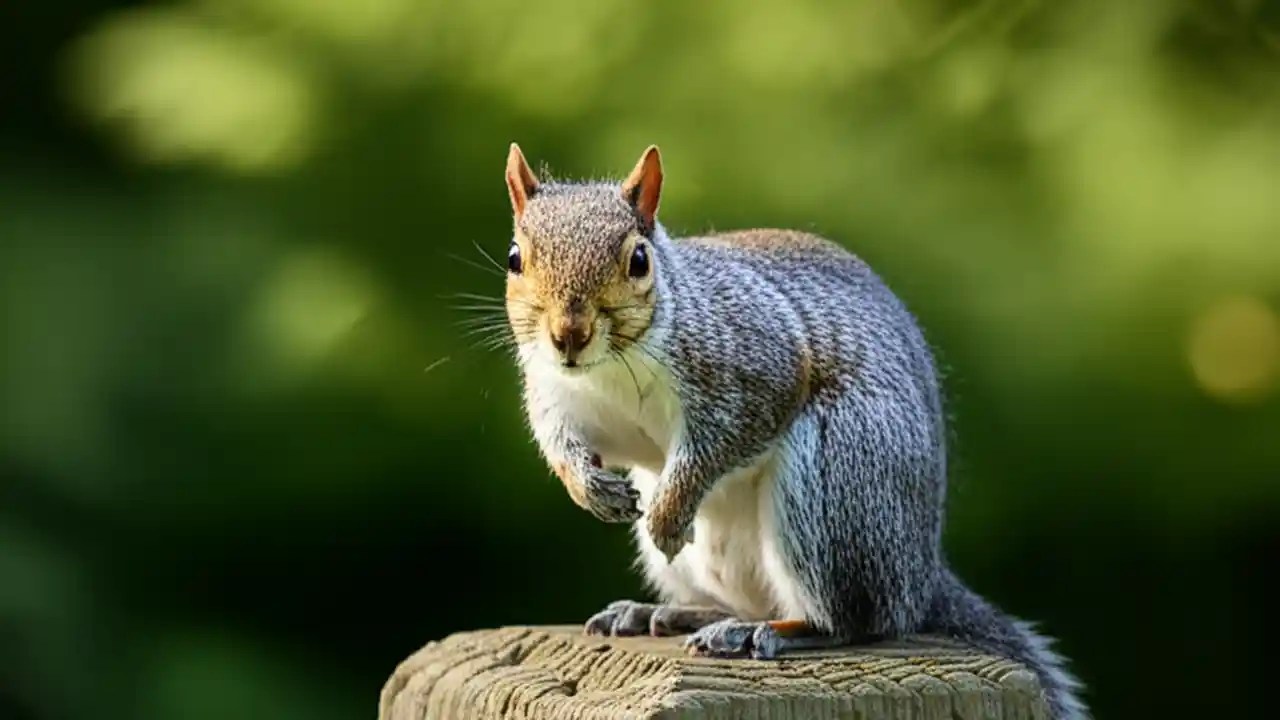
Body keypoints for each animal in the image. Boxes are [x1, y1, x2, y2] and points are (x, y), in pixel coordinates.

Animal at [498, 142, 1088, 719]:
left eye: (638, 260)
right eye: (515, 259)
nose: (569, 334)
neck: (612, 366)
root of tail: (921, 579)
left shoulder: (756, 366)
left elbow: (722, 443)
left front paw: (667, 513)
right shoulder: (558, 396)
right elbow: (565, 444)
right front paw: (588, 487)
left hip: (837, 485)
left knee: (855, 621)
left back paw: (766, 631)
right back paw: (667, 613)